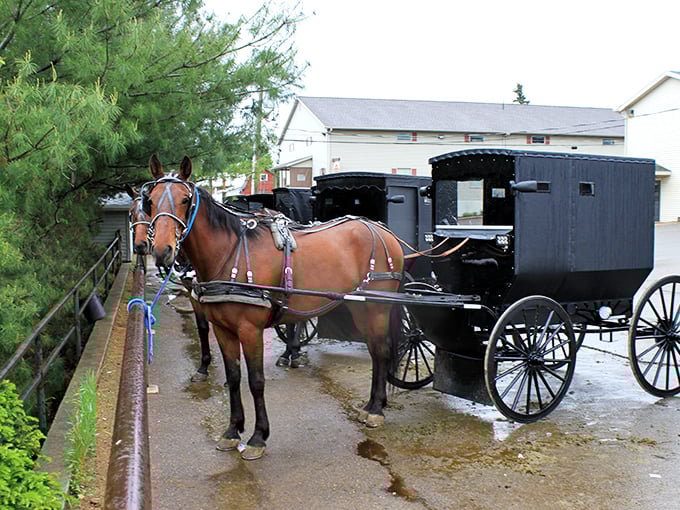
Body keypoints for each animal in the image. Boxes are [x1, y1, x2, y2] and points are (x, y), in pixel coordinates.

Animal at [126, 186, 226, 383]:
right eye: (131, 213)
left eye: (147, 211)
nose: (140, 246)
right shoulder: (192, 291)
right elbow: (203, 326)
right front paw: (204, 366)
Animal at [143, 154, 404, 460]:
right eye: (150, 200)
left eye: (185, 200)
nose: (162, 250)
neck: (230, 252)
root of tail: (383, 231)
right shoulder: (223, 329)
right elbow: (234, 377)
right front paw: (232, 431)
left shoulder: (250, 329)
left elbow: (256, 381)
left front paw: (258, 436)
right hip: (360, 308)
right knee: (376, 352)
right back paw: (373, 404)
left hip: (377, 307)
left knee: (382, 351)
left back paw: (376, 410)